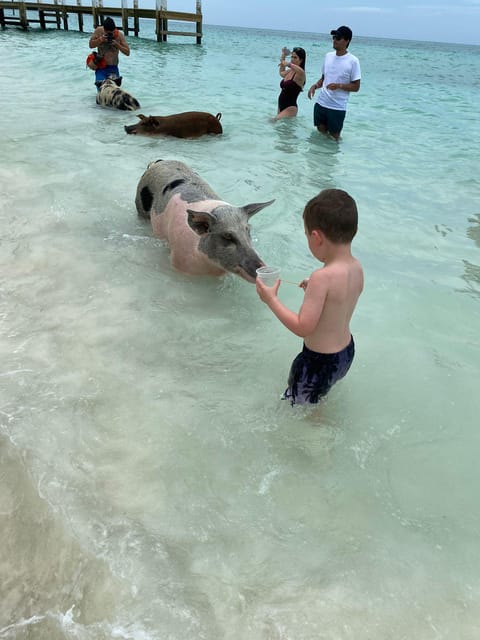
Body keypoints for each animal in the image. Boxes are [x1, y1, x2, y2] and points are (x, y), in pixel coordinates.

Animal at [135, 159, 274, 282]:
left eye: (248, 230)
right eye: (227, 236)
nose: (263, 268)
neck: (211, 267)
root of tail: (159, 162)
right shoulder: (179, 263)